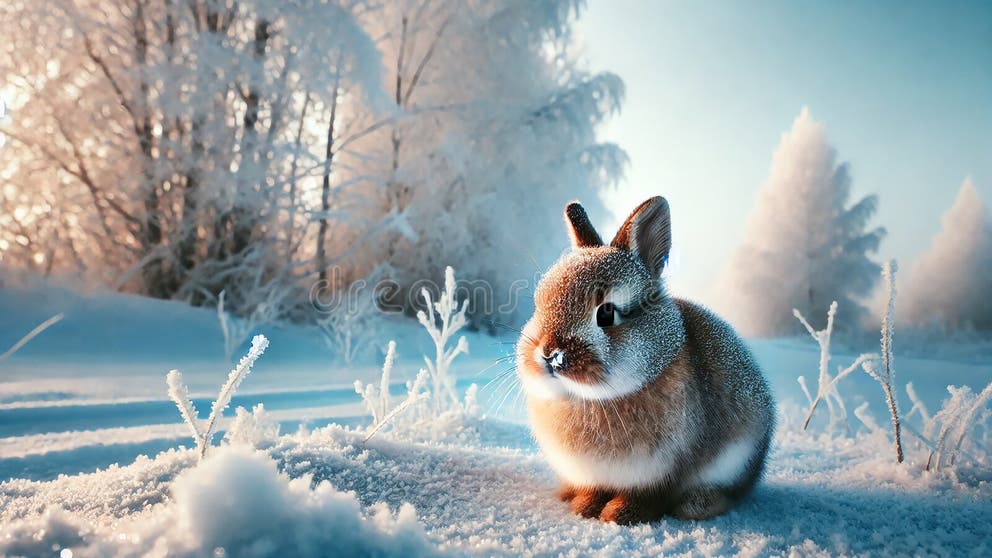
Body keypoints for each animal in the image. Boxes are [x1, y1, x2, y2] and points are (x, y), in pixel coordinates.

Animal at [515, 196, 775, 524]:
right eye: (540, 305)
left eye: (606, 313)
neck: (593, 397)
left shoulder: (661, 473)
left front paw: (618, 514)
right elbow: (593, 491)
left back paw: (696, 505)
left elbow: (648, 498)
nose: (551, 354)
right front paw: (584, 507)